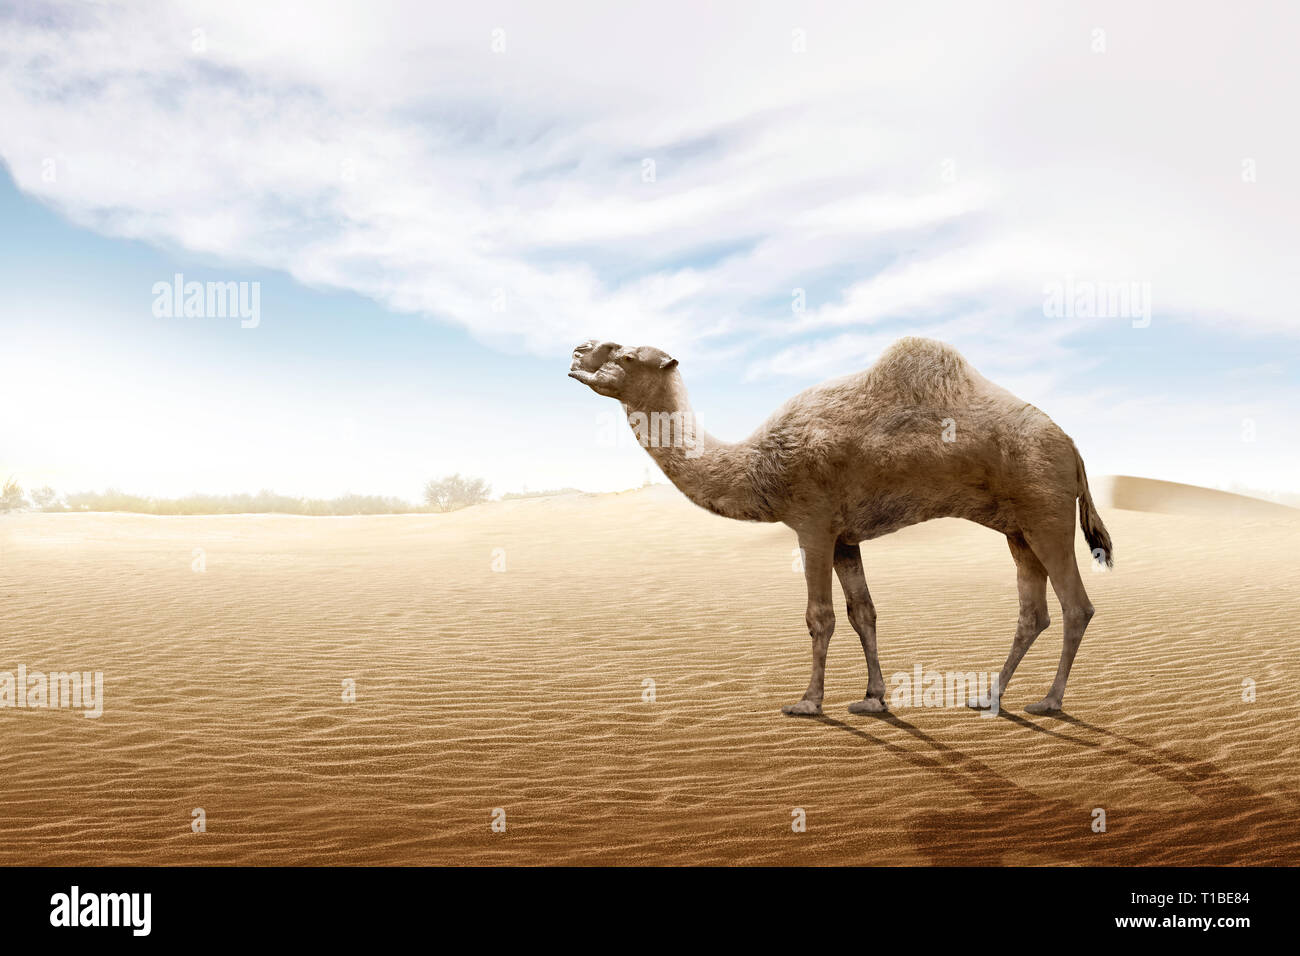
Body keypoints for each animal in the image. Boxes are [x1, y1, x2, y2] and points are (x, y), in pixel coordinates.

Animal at [568, 336, 1112, 717]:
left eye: (626, 354)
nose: (576, 351)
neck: (759, 464)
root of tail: (1074, 447)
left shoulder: (813, 523)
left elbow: (820, 616)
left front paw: (809, 702)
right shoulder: (847, 537)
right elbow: (863, 613)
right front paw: (873, 698)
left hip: (1046, 511)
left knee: (1077, 606)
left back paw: (1050, 701)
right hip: (1018, 528)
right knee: (1033, 613)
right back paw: (989, 698)